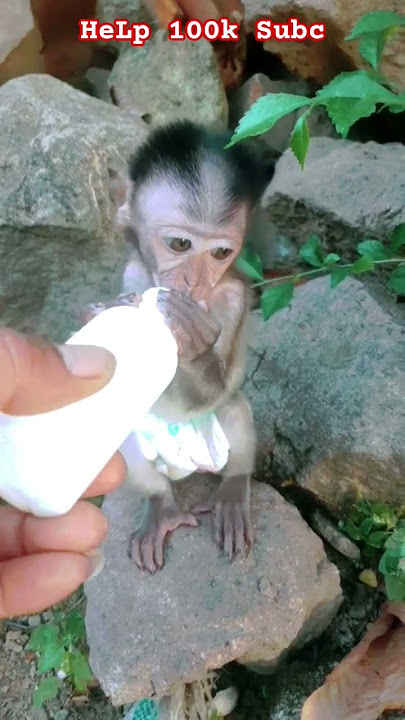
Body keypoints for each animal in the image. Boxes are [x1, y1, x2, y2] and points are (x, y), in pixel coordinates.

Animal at [108, 120, 278, 573]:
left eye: (220, 252)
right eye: (181, 245)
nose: (196, 284)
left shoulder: (235, 298)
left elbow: (218, 384)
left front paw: (196, 347)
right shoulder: (132, 276)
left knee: (234, 409)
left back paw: (234, 492)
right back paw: (162, 507)